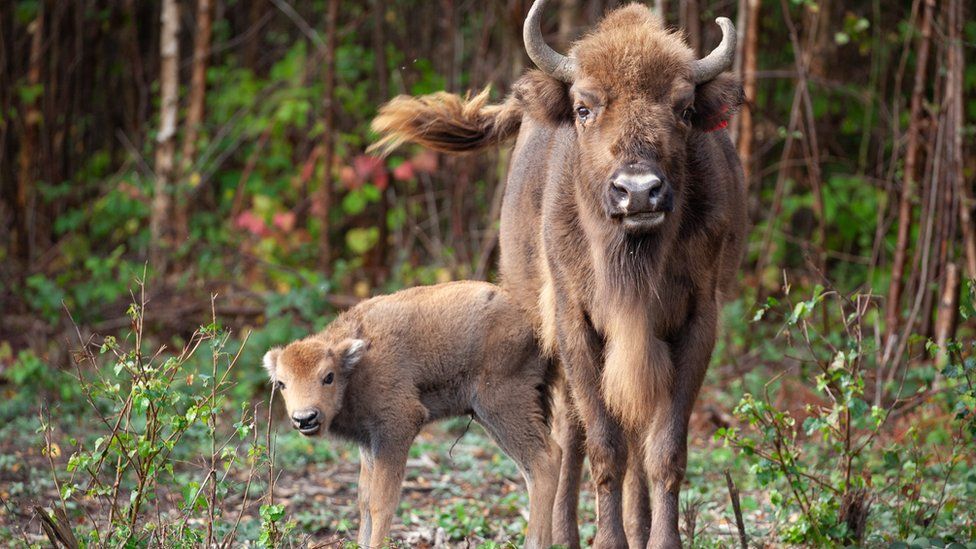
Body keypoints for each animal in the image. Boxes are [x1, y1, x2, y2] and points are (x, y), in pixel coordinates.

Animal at [370, 2, 746, 547]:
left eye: (684, 109)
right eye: (584, 108)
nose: (638, 192)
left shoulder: (696, 323)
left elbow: (665, 450)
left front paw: (658, 539)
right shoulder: (576, 323)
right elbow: (604, 446)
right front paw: (607, 540)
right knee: (571, 436)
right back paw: (567, 533)